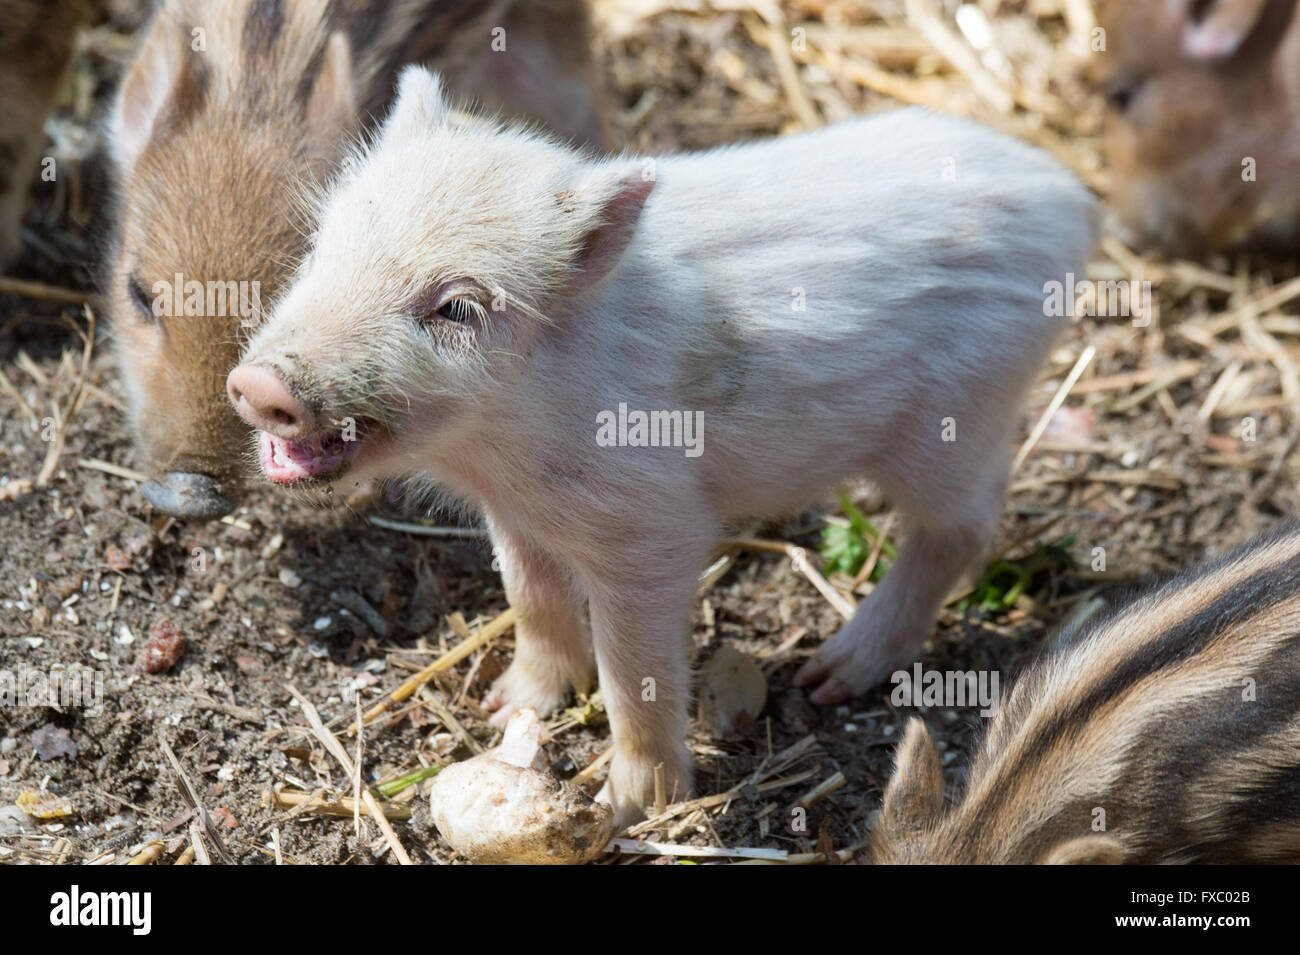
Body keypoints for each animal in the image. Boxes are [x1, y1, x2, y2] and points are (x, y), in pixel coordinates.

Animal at [227, 66, 1098, 825]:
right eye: (323, 246)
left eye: (457, 307)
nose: (258, 382)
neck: (502, 451)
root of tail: (1071, 197)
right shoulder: (517, 517)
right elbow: (530, 596)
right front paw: (504, 707)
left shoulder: (653, 530)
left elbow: (634, 668)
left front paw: (629, 808)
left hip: (958, 419)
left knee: (966, 526)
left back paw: (825, 677)